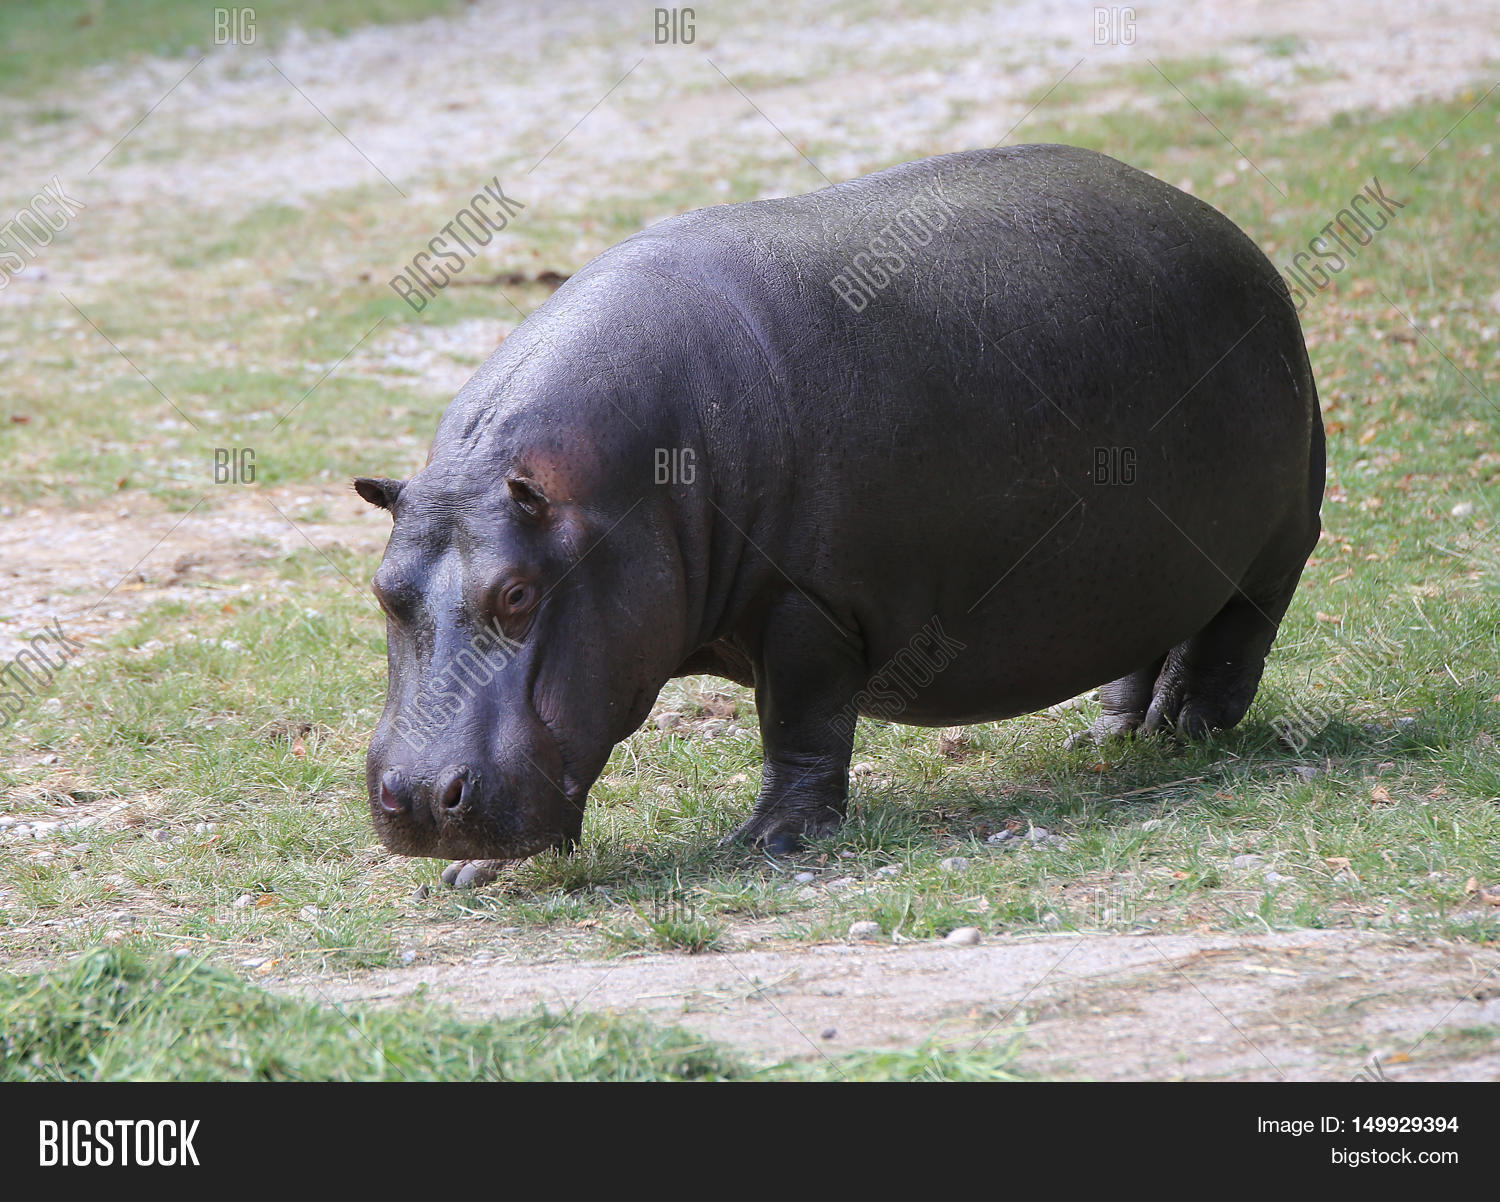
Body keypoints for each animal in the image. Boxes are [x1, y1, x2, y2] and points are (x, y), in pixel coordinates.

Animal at [356, 143, 1323, 879]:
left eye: (519, 593)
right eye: (381, 588)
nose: (421, 800)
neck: (618, 486)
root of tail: (1237, 239)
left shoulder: (808, 606)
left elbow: (801, 725)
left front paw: (770, 841)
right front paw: (475, 871)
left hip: (1274, 549)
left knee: (1233, 641)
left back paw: (1186, 732)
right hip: (1151, 564)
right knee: (1147, 640)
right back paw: (1112, 734)